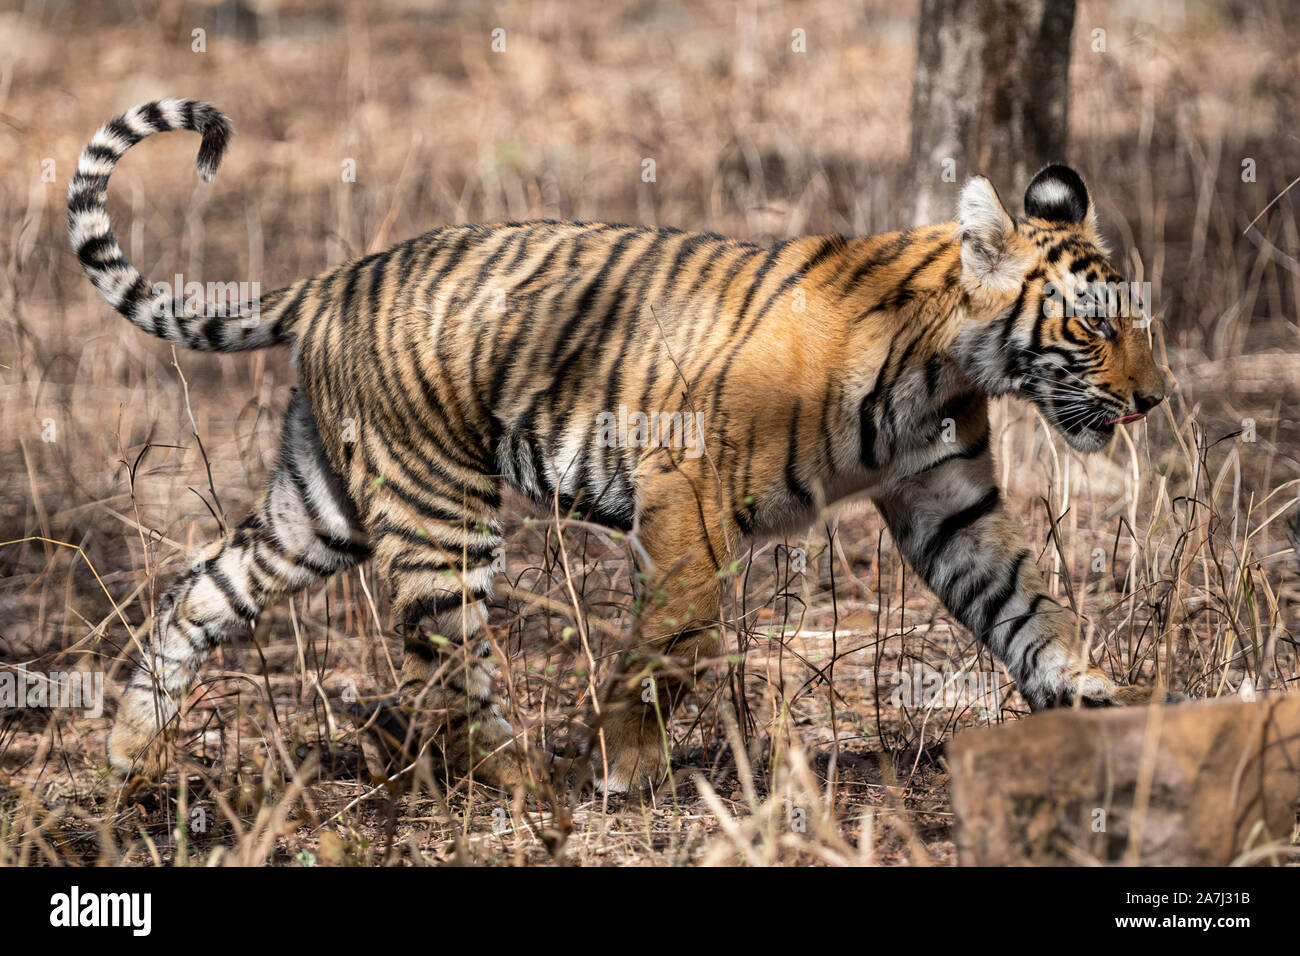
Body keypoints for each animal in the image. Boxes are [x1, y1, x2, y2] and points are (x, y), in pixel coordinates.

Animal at [70, 99, 1172, 794]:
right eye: (1092, 327)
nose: (1156, 399)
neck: (945, 367)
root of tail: (335, 278)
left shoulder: (951, 504)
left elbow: (1023, 602)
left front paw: (1090, 697)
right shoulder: (688, 492)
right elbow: (675, 642)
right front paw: (623, 765)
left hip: (321, 508)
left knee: (201, 589)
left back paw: (129, 752)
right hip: (438, 512)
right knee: (442, 657)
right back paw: (524, 778)